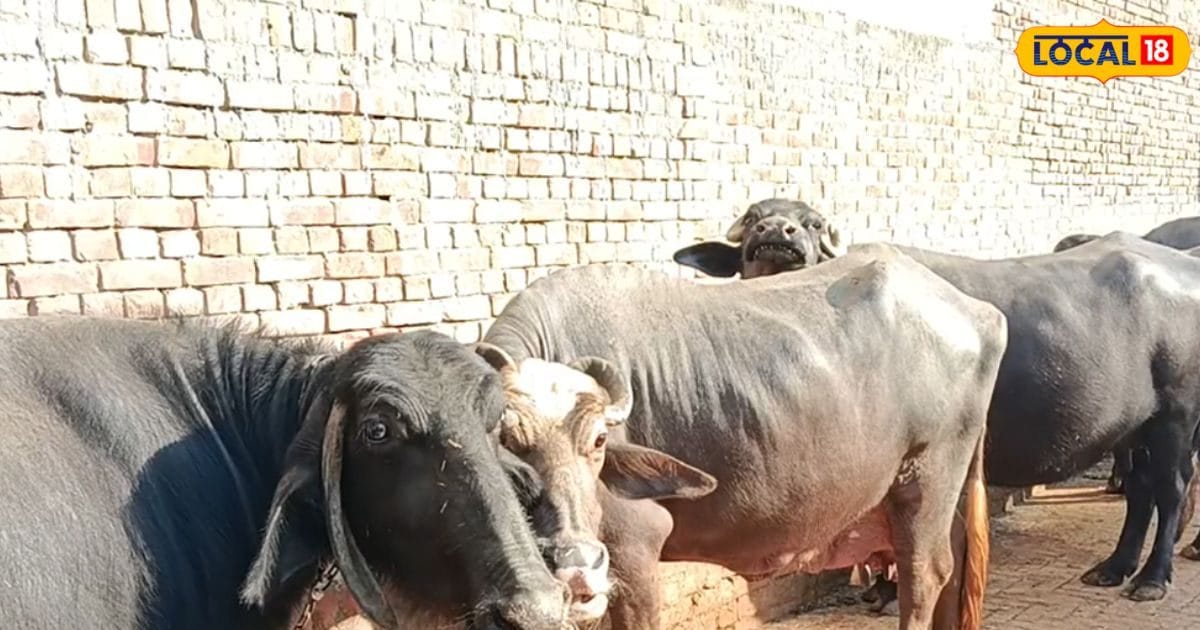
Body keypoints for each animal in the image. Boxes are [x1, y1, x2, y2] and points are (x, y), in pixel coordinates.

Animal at [483, 246, 1008, 630]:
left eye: (596, 442)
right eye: (506, 444)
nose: (573, 564)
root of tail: (983, 315)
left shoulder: (635, 548)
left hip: (928, 477)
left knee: (924, 575)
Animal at [676, 217, 1200, 605]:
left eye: (811, 225)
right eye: (752, 232)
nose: (776, 235)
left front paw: (888, 589)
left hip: (1177, 415)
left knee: (1172, 488)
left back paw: (1153, 578)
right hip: (1137, 425)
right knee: (1140, 490)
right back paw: (1115, 568)